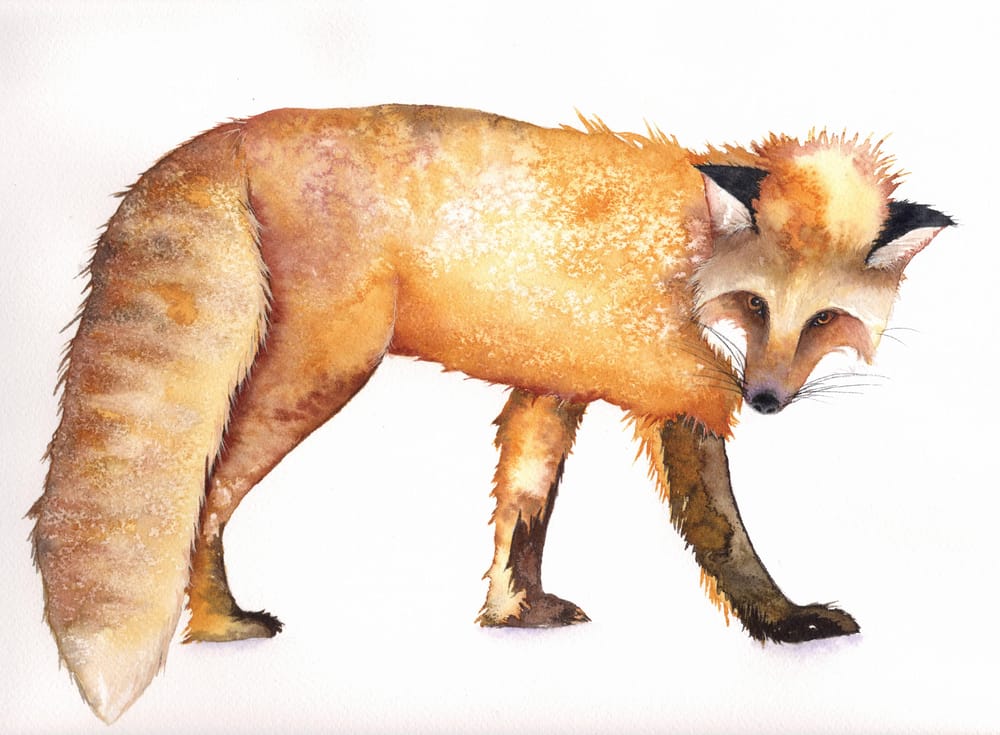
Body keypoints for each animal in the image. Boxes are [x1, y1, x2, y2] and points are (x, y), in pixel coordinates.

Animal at [30, 105, 953, 723]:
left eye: (824, 320)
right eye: (756, 306)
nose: (765, 400)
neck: (689, 251)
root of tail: (229, 131)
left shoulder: (556, 384)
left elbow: (523, 508)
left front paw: (514, 612)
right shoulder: (676, 382)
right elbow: (726, 535)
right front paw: (784, 623)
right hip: (320, 373)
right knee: (207, 494)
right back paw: (221, 622)